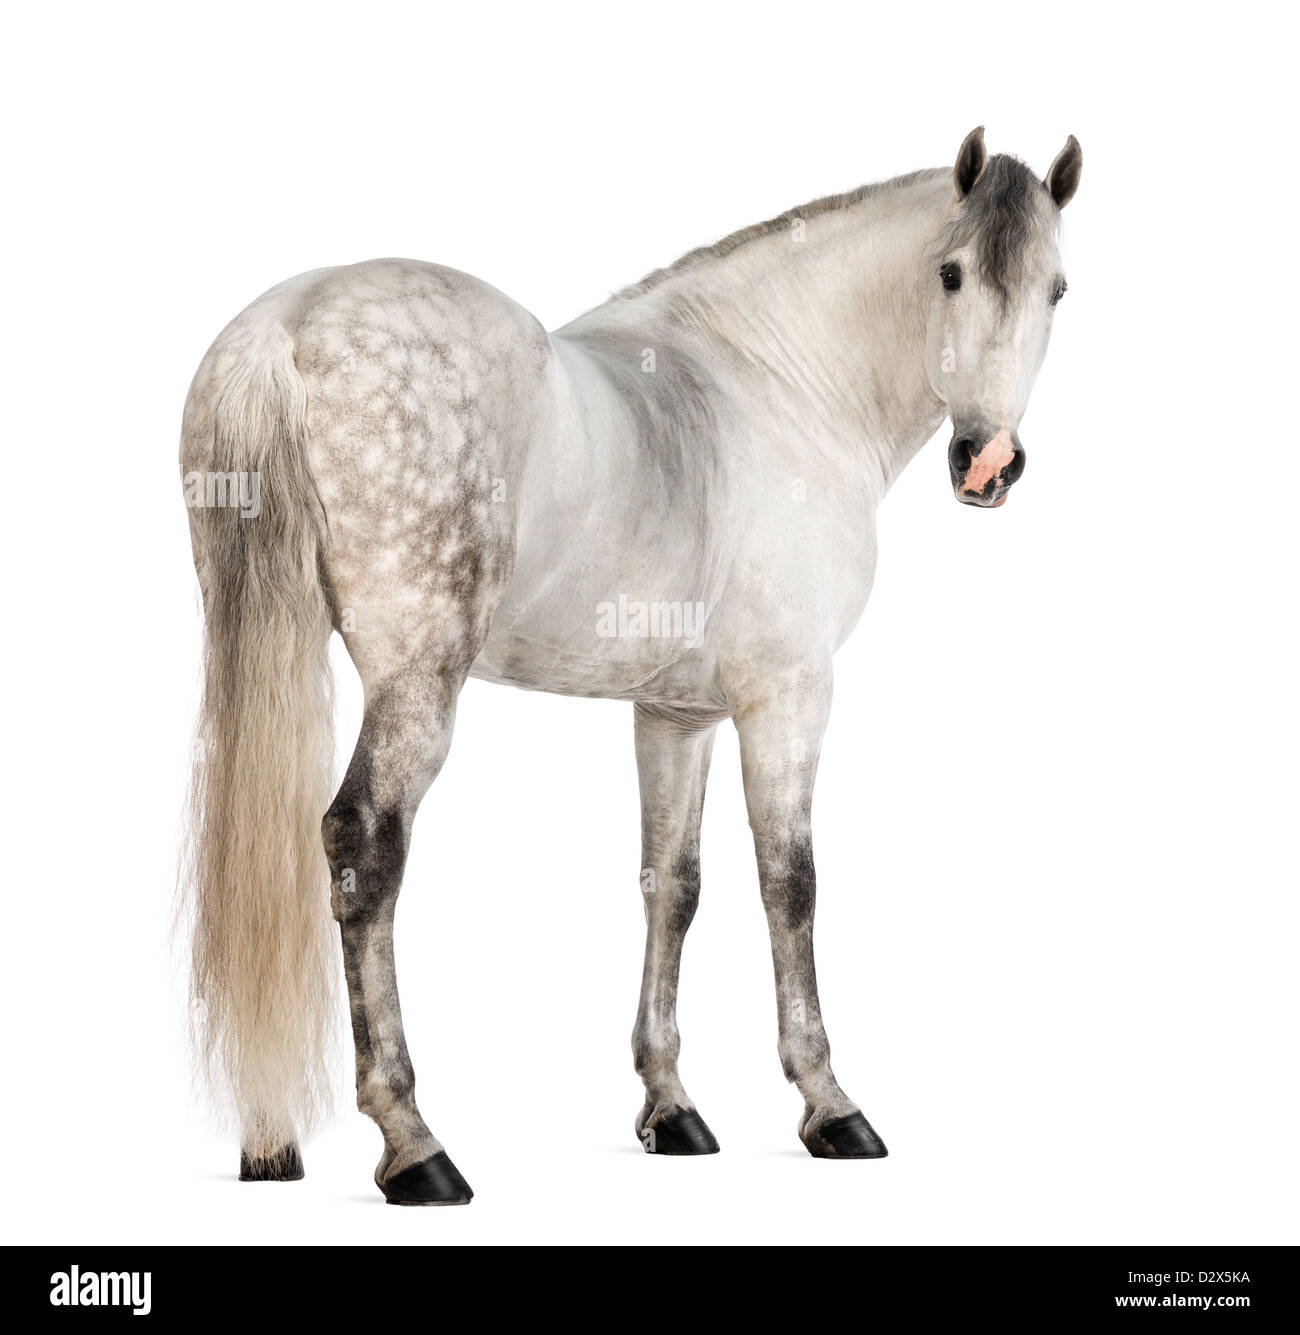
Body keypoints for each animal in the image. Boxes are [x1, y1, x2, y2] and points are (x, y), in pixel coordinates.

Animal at [180, 127, 1081, 1204]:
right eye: (950, 272)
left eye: (1057, 289)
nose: (987, 463)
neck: (778, 382)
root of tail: (288, 324)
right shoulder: (788, 696)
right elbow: (792, 883)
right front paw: (829, 1104)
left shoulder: (675, 716)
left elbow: (673, 885)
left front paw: (672, 1107)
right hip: (415, 682)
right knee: (363, 850)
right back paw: (414, 1144)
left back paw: (270, 1143)